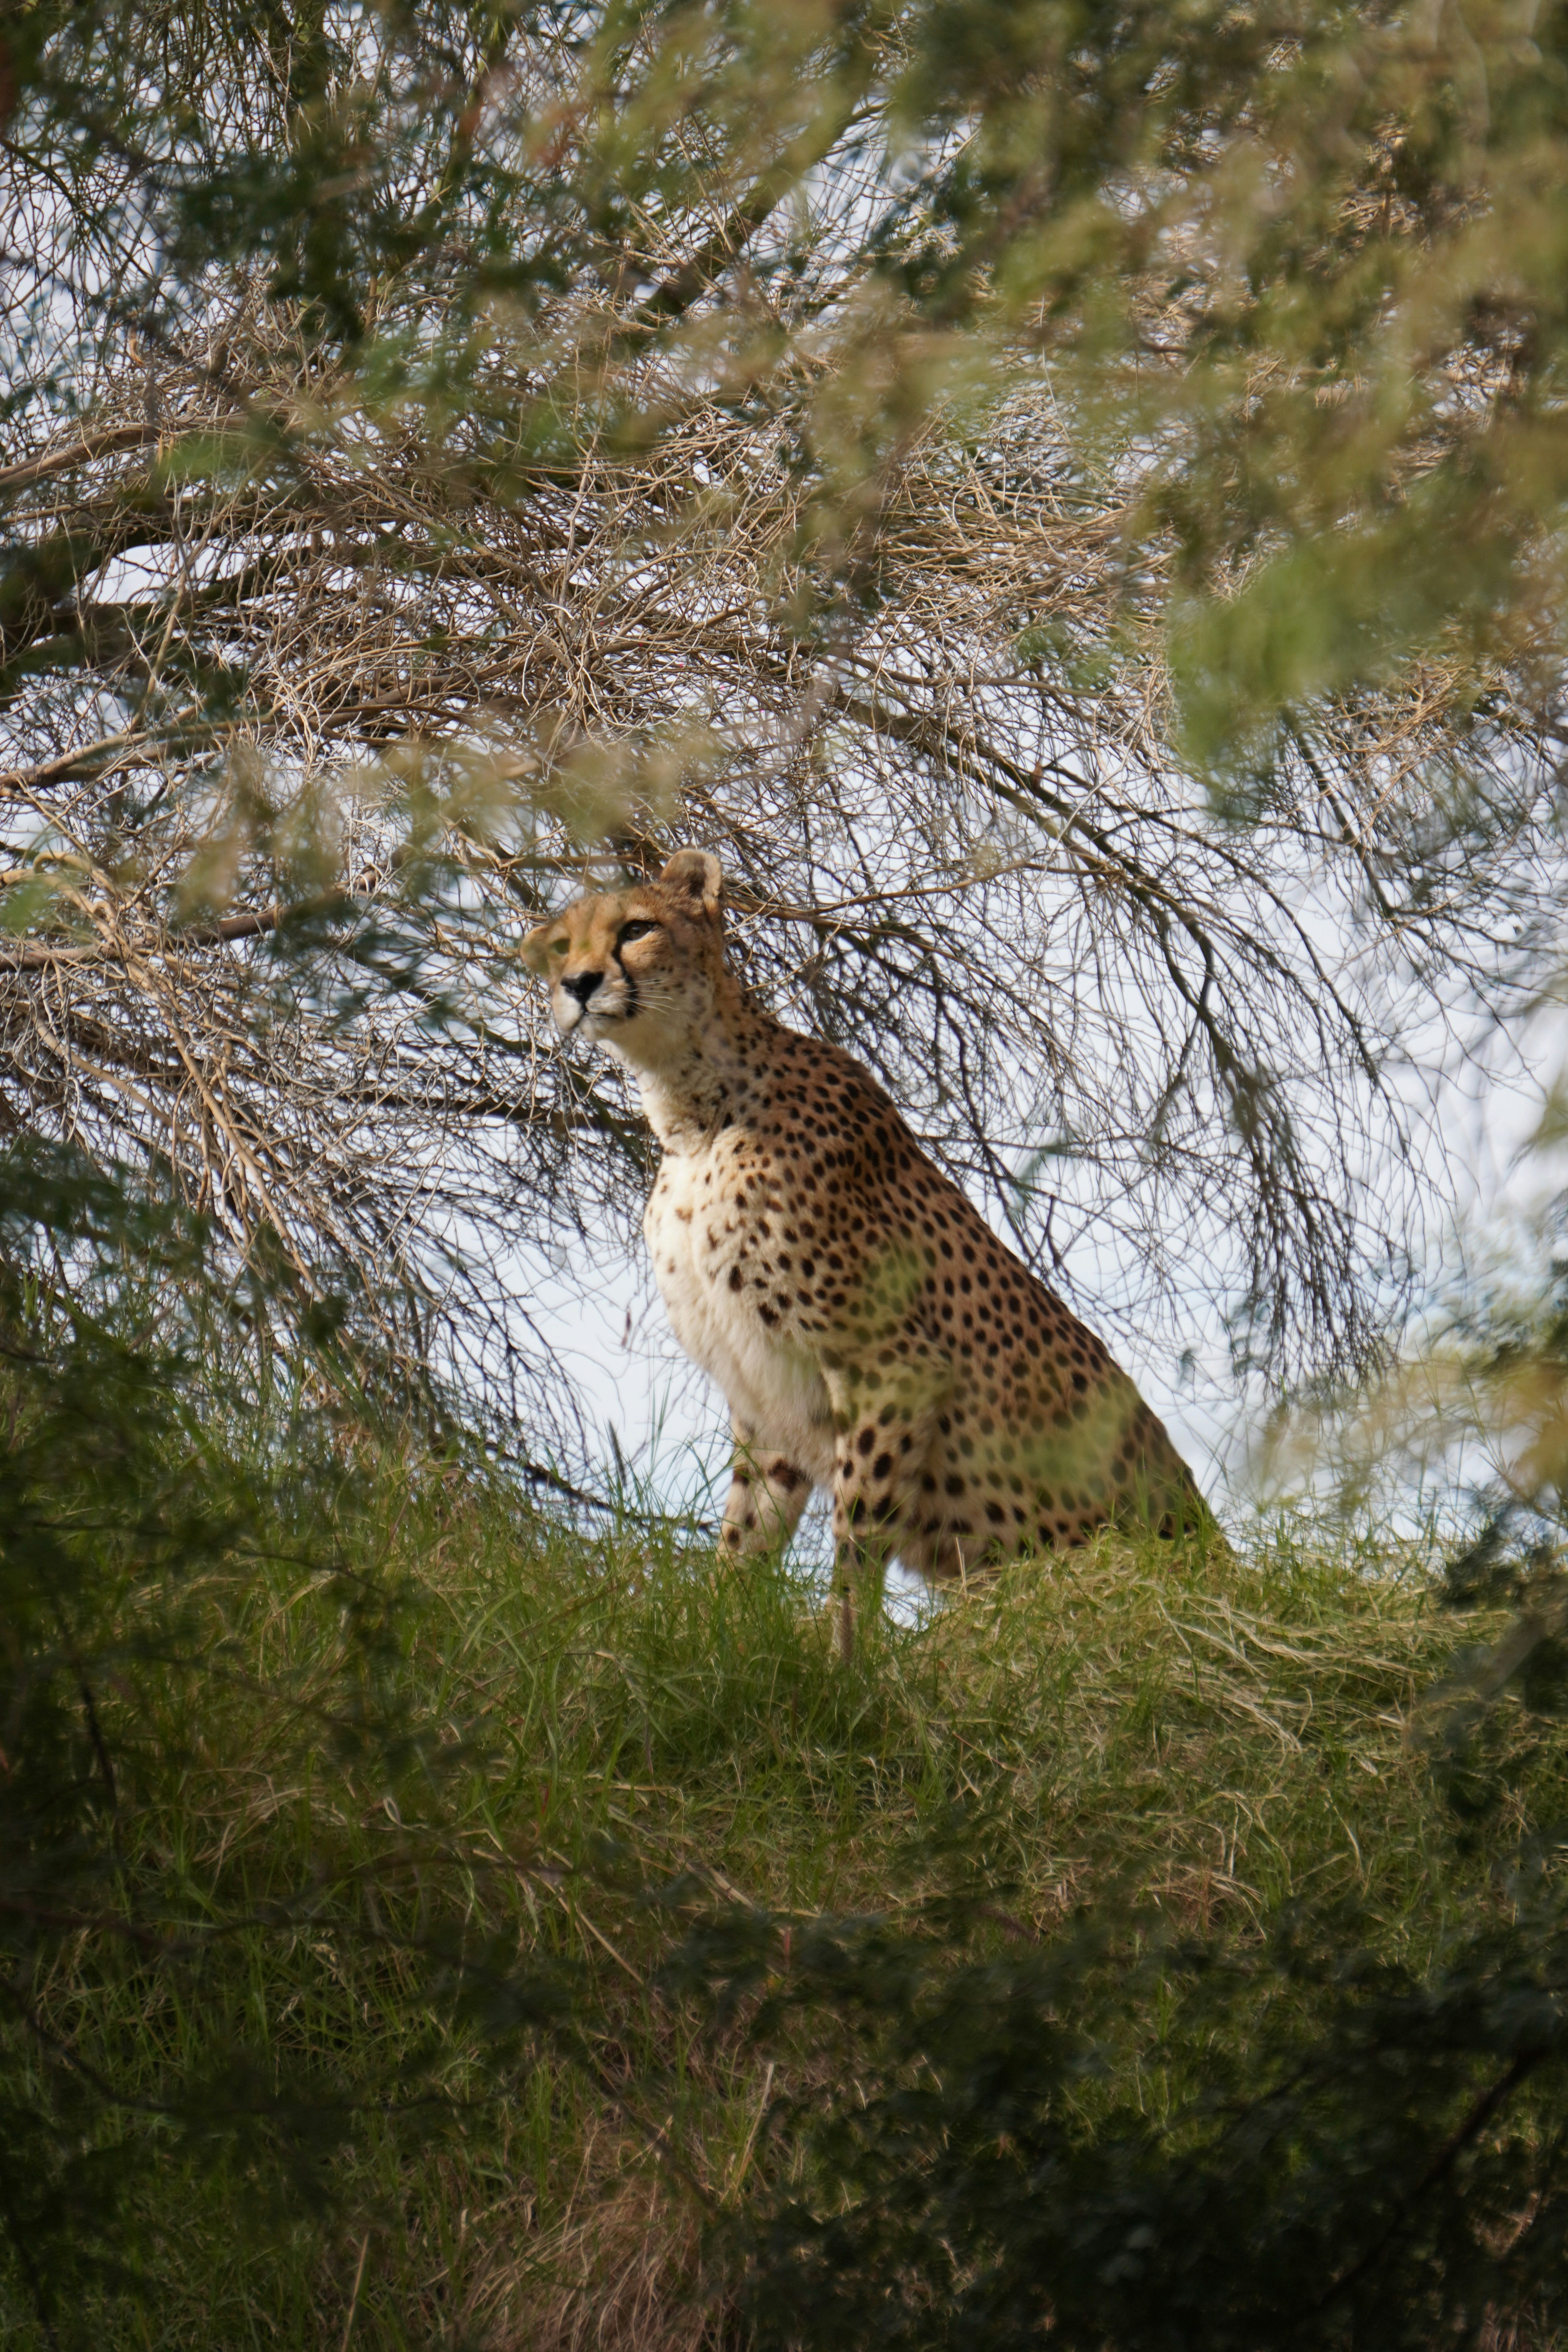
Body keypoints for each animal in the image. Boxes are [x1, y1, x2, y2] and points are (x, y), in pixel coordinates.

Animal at [522, 848, 1211, 1658]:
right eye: (562, 946)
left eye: (636, 929)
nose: (579, 984)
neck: (695, 1114)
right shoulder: (768, 1393)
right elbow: (744, 1535)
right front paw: (719, 1639)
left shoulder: (893, 1369)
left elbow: (855, 1539)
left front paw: (845, 1663)